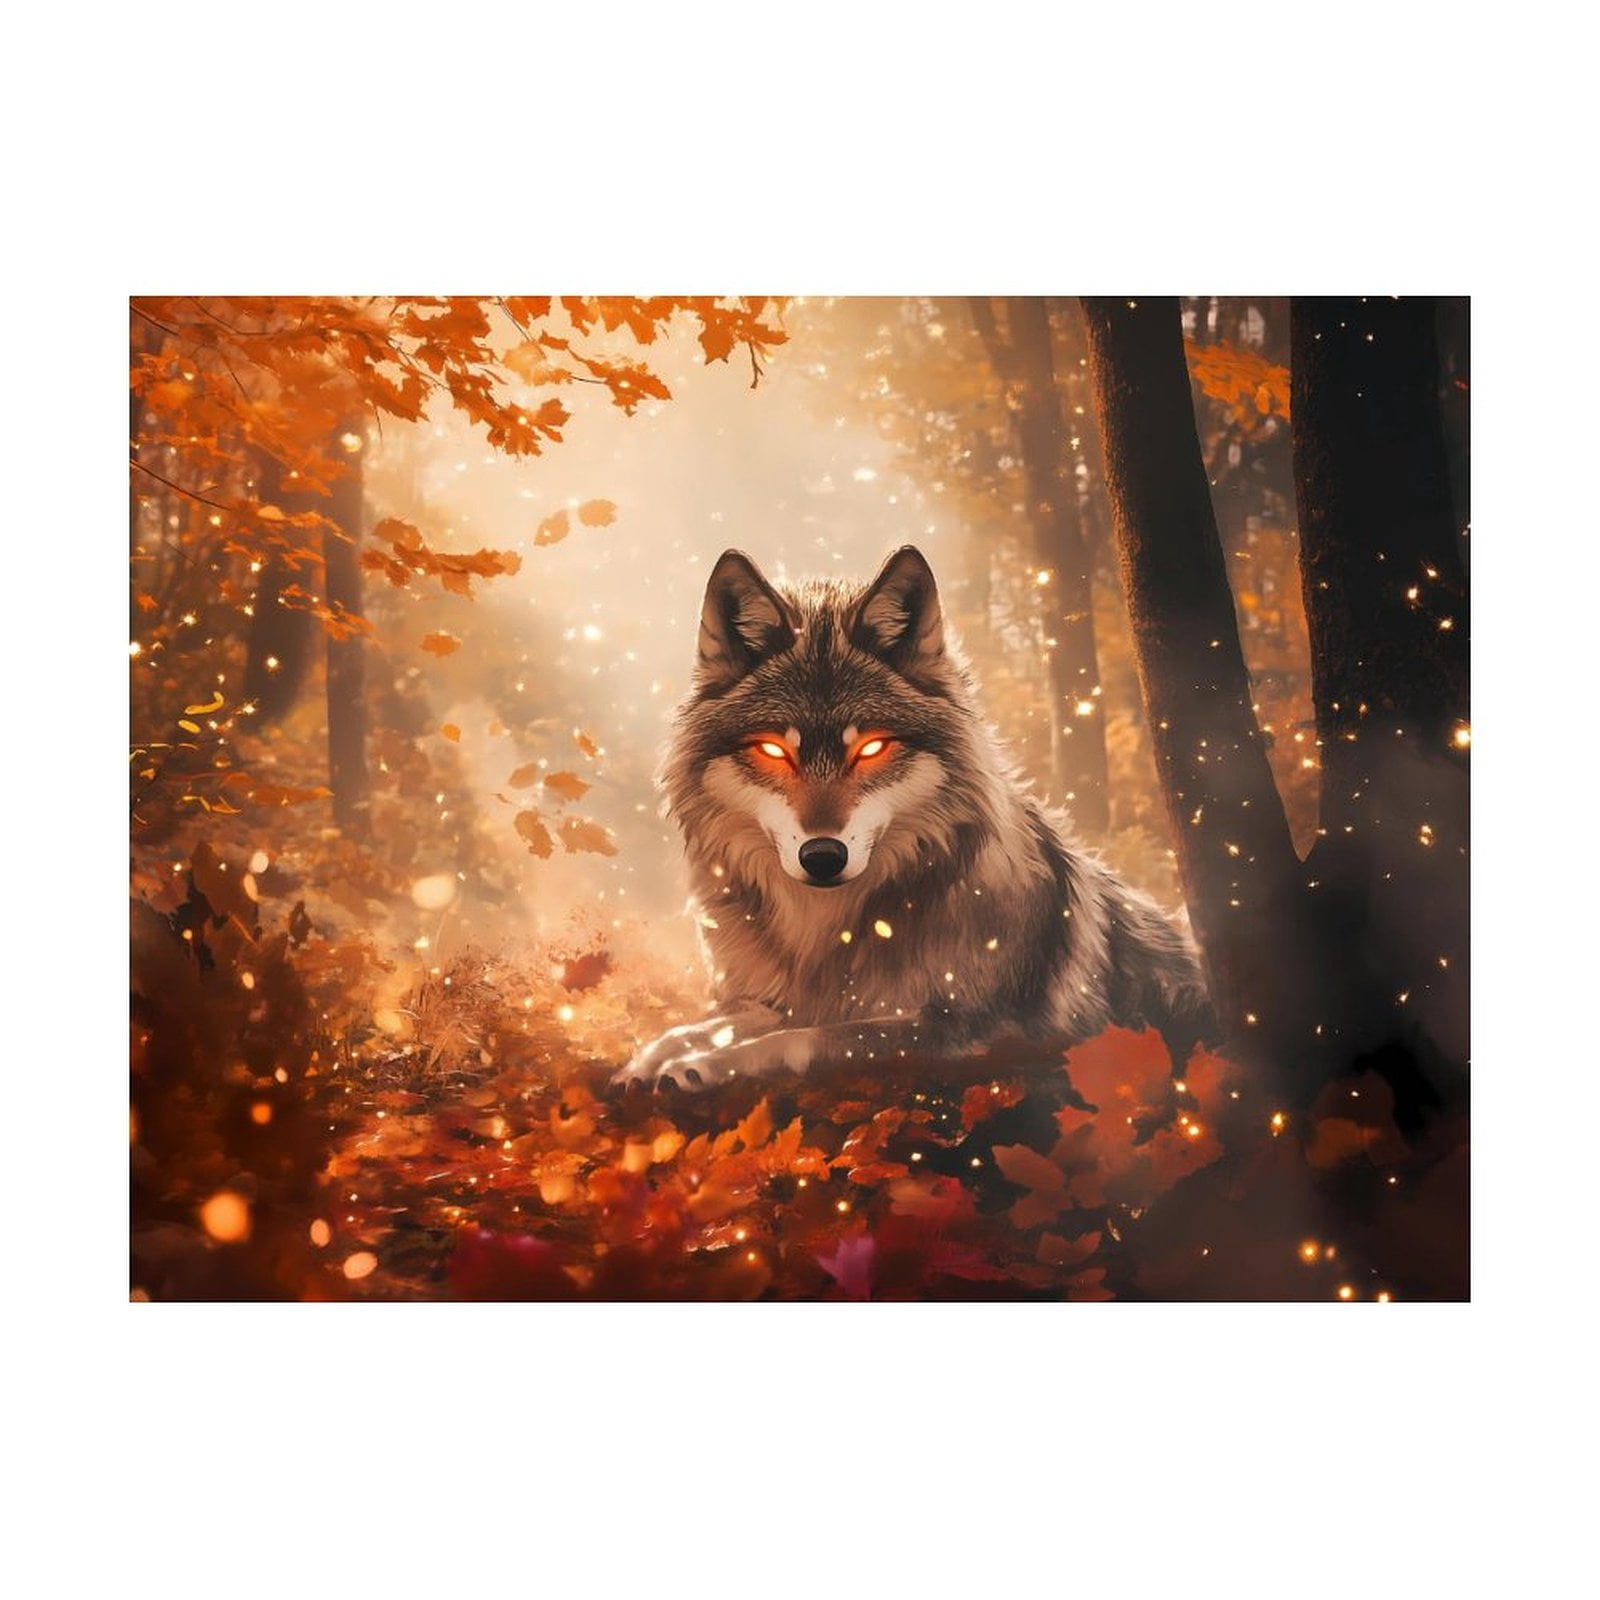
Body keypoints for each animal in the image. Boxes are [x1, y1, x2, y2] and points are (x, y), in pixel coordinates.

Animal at [615, 545, 1213, 1091]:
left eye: (873, 747)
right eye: (773, 750)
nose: (823, 856)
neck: (825, 929)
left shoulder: (968, 1029)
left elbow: (812, 1038)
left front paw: (702, 1066)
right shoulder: (765, 997)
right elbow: (714, 1023)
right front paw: (652, 1057)